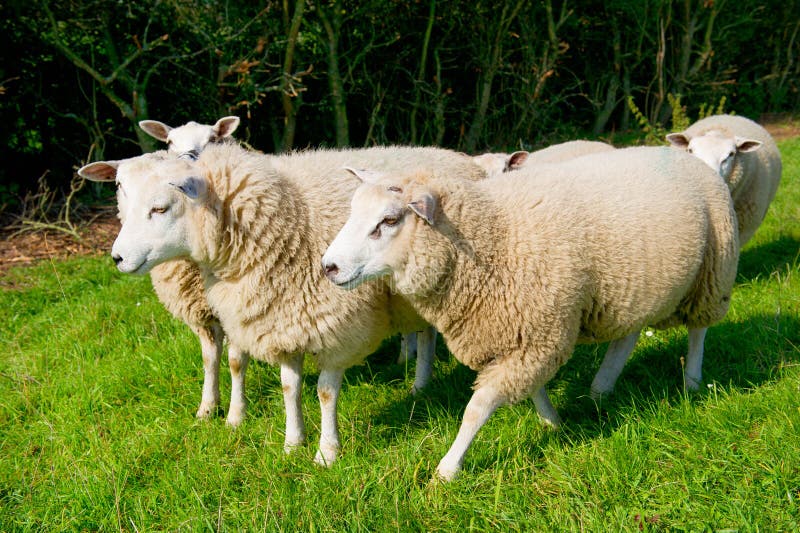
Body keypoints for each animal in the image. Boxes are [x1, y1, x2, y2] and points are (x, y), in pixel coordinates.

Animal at [79, 142, 486, 466]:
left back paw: (420, 383)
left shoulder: (337, 326)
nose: (117, 258)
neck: (288, 222)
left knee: (427, 332)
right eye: (120, 188)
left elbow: (324, 392)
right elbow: (284, 384)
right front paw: (290, 441)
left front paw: (327, 453)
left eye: (161, 208)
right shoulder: (275, 317)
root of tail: (455, 156)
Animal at [321, 146, 739, 479]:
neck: (494, 234)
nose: (328, 267)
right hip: (632, 288)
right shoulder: (528, 331)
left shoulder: (539, 329)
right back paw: (602, 388)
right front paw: (553, 422)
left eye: (390, 220)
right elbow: (533, 387)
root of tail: (686, 155)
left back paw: (692, 380)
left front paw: (447, 469)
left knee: (698, 330)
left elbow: (477, 409)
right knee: (628, 335)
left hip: (714, 269)